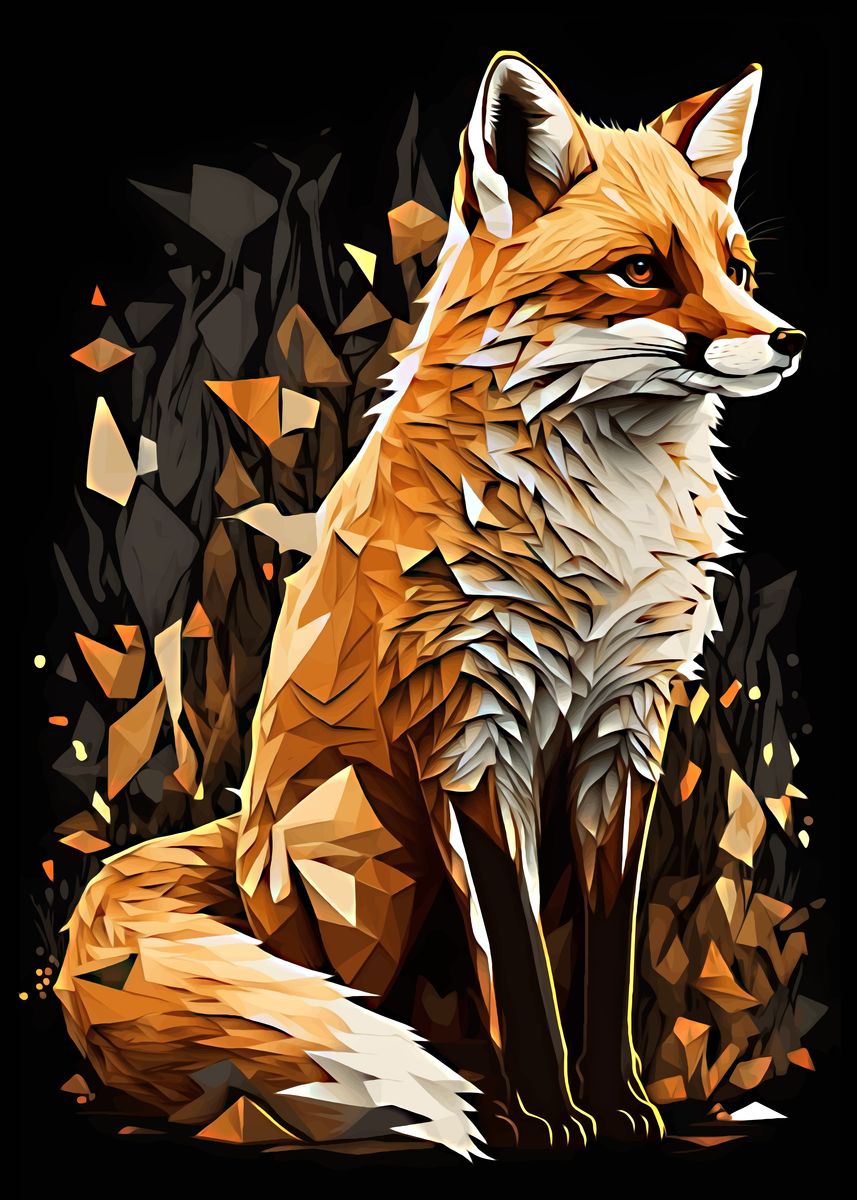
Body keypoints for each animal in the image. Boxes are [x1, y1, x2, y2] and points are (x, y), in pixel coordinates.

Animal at [57, 52, 804, 1159]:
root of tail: (236, 838)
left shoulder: (626, 731)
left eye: (737, 272)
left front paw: (619, 1103)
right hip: (361, 844)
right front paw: (546, 1116)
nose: (787, 342)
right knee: (359, 1003)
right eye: (640, 271)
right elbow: (515, 959)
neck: (600, 535)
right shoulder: (466, 731)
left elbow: (606, 949)